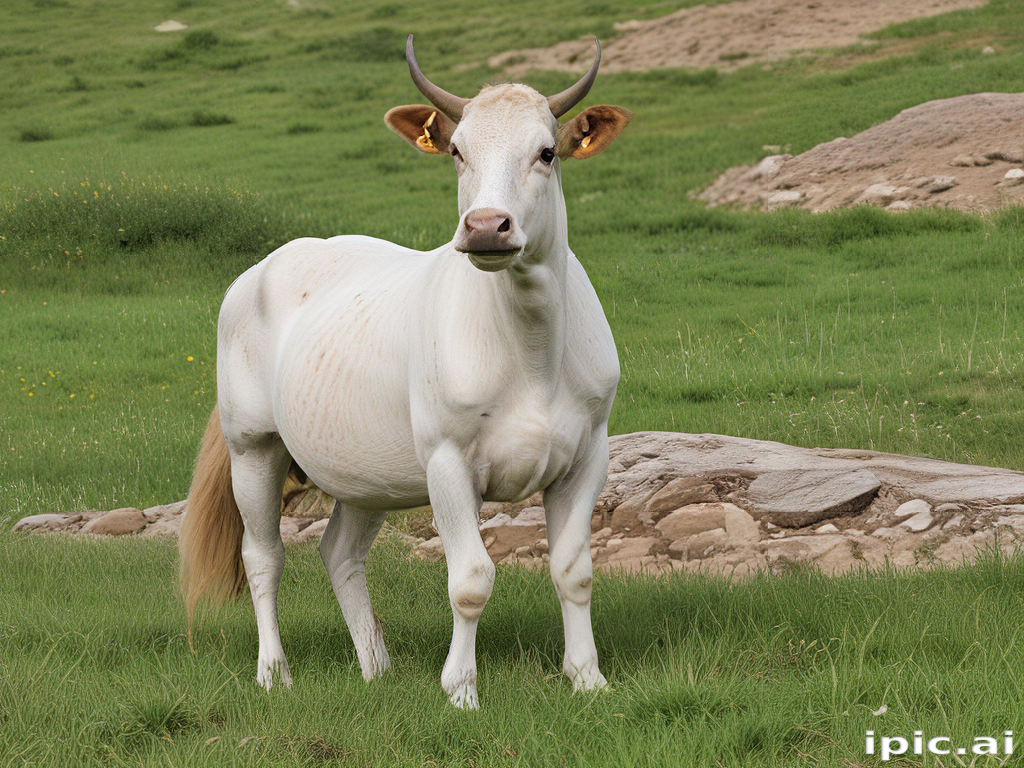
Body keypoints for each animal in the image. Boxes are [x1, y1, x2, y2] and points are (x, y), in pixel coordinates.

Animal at [179, 35, 631, 709]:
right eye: (457, 150)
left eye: (547, 152)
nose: (486, 227)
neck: (531, 350)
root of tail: (259, 270)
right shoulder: (447, 458)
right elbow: (470, 577)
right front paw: (461, 689)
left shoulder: (587, 453)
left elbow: (573, 570)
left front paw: (587, 678)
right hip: (251, 443)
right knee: (262, 555)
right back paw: (273, 671)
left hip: (368, 468)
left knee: (339, 550)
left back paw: (376, 666)